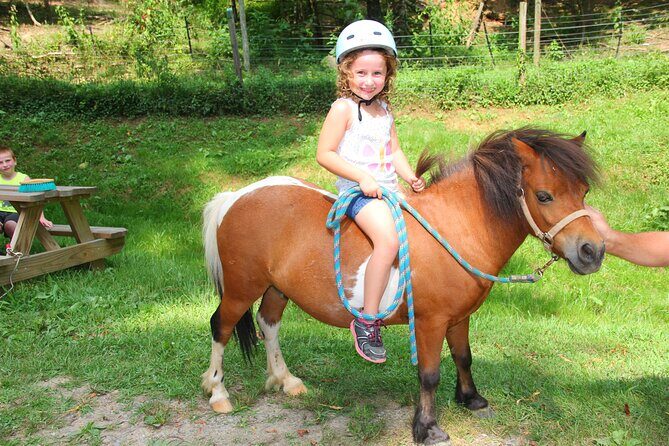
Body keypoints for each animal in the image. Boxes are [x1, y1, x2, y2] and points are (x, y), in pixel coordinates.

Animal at [200, 127, 603, 445]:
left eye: (583, 191)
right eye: (544, 195)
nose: (593, 251)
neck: (456, 226)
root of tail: (234, 197)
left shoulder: (459, 318)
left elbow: (463, 356)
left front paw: (471, 400)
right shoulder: (429, 322)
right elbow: (429, 374)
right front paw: (428, 428)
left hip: (276, 288)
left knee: (269, 323)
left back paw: (285, 380)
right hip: (241, 288)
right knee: (221, 327)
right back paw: (218, 392)